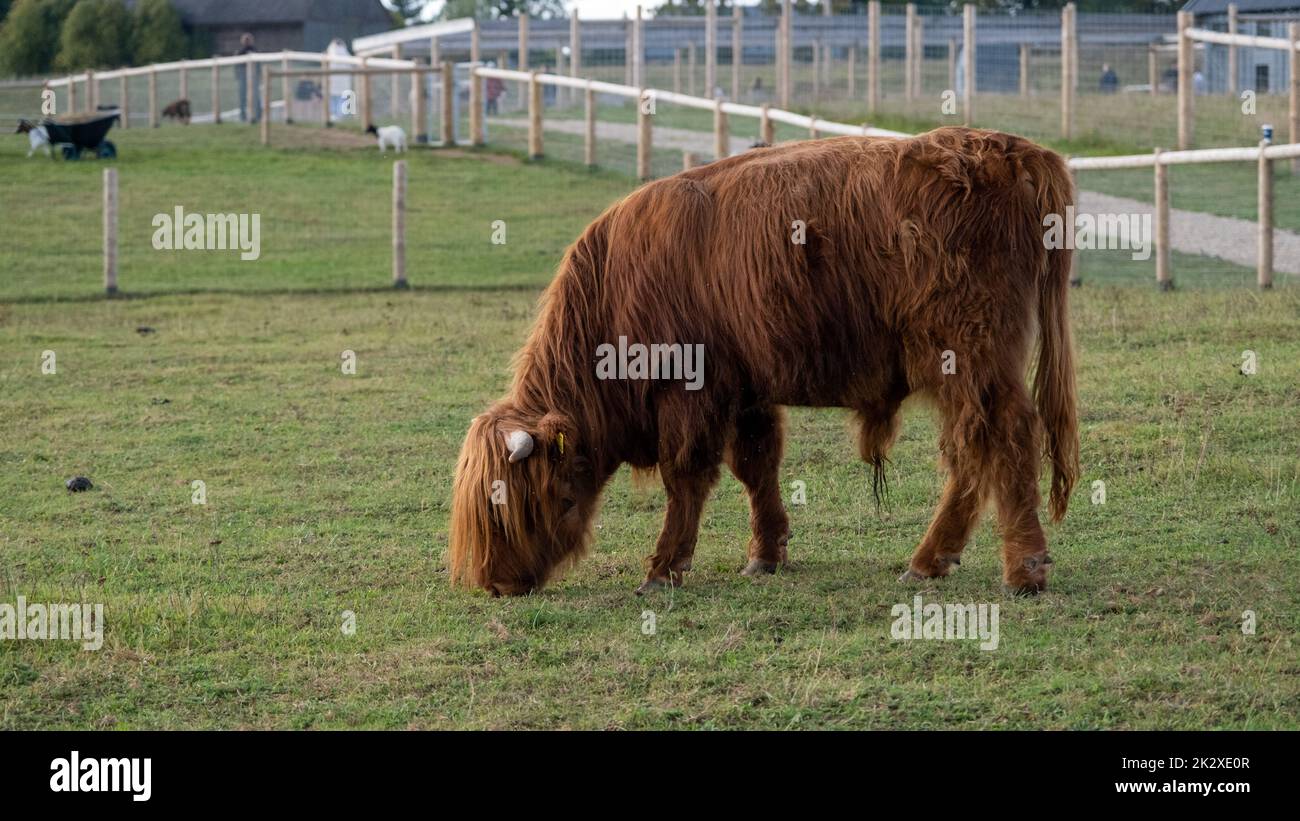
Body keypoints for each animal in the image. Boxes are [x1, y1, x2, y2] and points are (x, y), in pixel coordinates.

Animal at [449, 126, 1079, 597]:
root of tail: (1011, 151)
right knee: (971, 453)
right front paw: (766, 554)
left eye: (514, 507)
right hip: (960, 374)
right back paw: (930, 561)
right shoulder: (746, 390)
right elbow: (757, 466)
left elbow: (686, 477)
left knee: (1006, 437)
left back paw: (1023, 570)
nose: (497, 583)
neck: (613, 288)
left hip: (972, 357)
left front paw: (662, 569)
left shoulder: (689, 391)